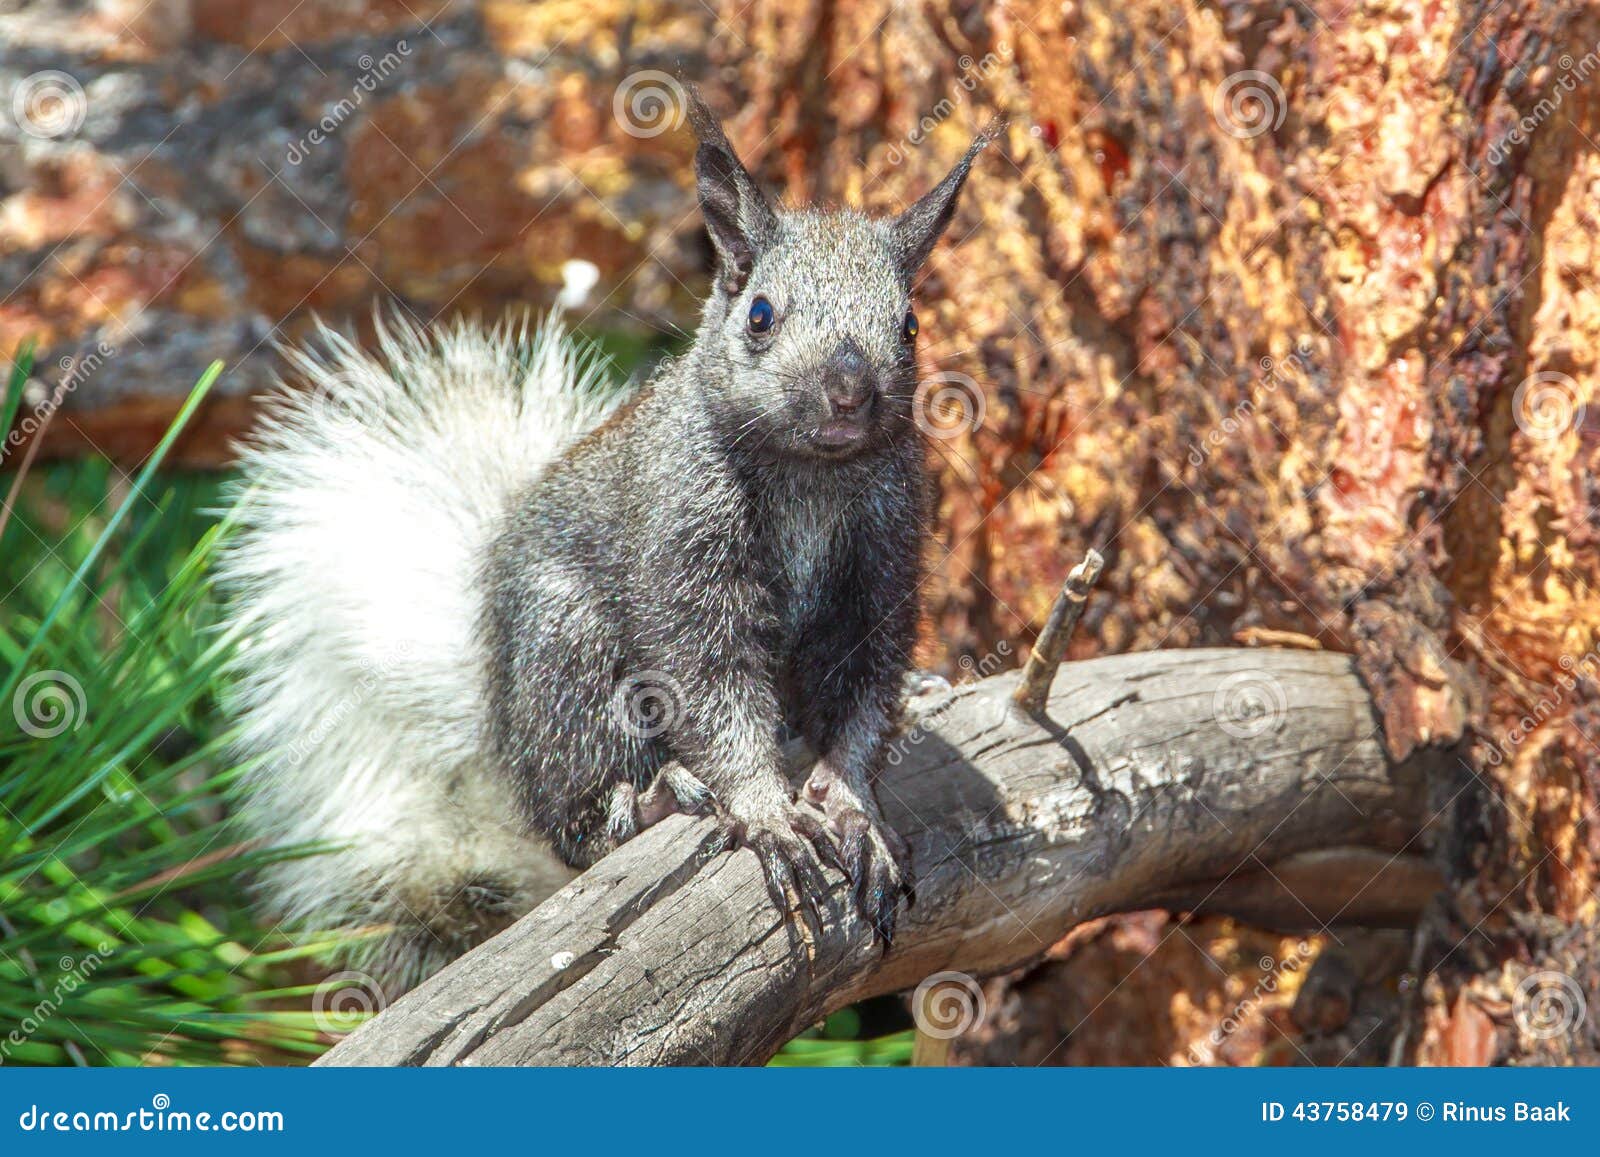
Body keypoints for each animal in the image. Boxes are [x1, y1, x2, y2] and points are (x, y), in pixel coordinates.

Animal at [218, 91, 997, 989]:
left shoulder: (881, 567)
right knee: (578, 825)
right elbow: (714, 692)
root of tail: (501, 736)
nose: (847, 393)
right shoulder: (686, 556)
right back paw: (646, 800)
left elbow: (864, 700)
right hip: (571, 655)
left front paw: (849, 801)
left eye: (908, 324)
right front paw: (767, 810)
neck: (812, 475)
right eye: (760, 314)